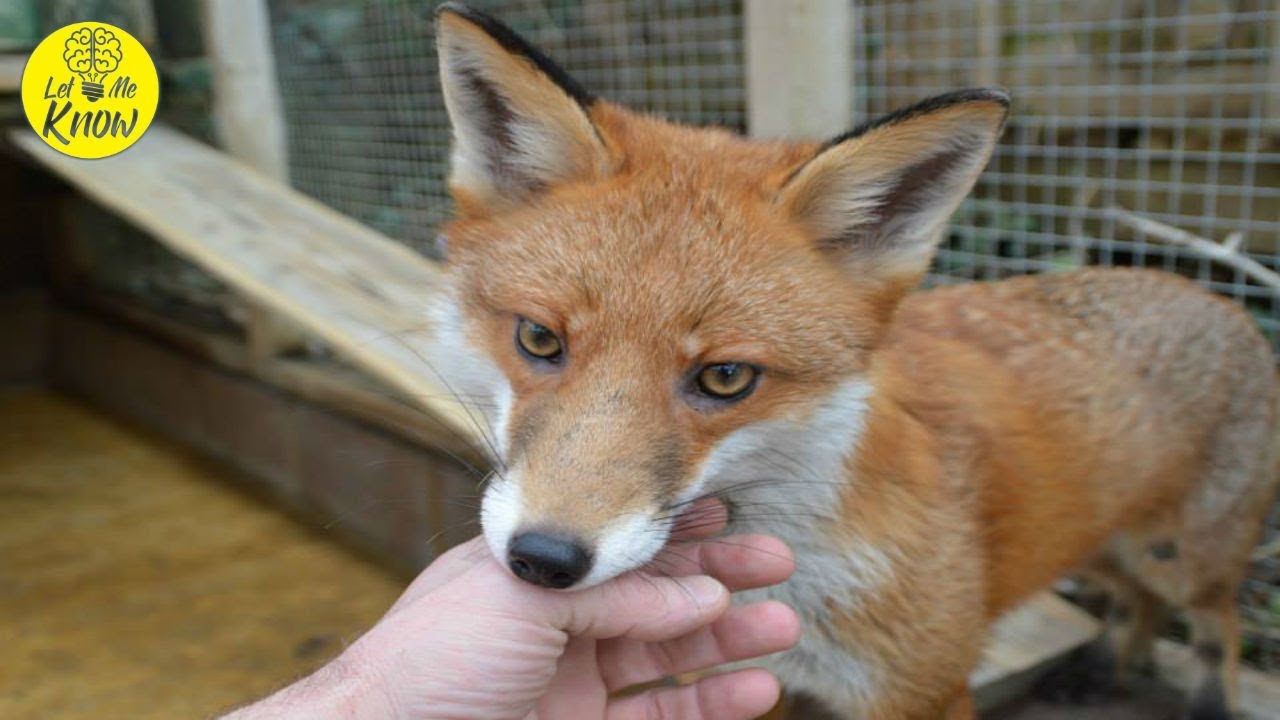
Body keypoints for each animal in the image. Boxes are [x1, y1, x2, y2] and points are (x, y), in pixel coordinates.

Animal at [424, 4, 1279, 719]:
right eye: (540, 339)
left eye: (725, 378)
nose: (543, 559)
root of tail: (1213, 292)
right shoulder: (752, 681)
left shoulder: (926, 692)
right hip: (1100, 547)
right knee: (1139, 605)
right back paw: (1107, 660)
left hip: (1178, 559)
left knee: (1216, 622)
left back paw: (1208, 696)